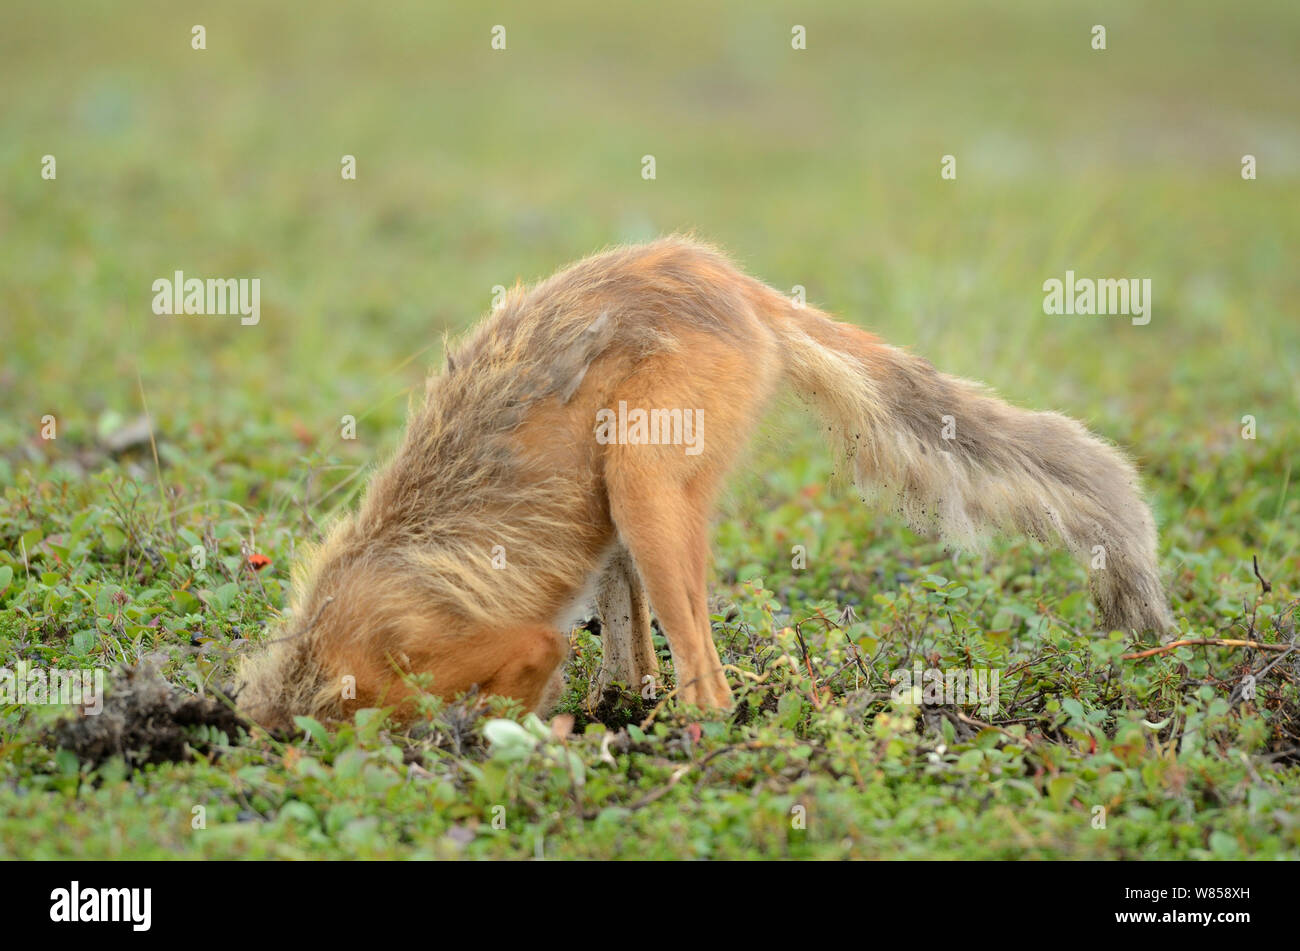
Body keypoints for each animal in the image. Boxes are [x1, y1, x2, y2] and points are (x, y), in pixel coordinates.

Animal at [238, 235, 1174, 730]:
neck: (326, 639)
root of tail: (717, 265)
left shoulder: (484, 652)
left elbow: (506, 691)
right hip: (620, 514)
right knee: (643, 660)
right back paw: (624, 709)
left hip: (642, 481)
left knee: (712, 689)